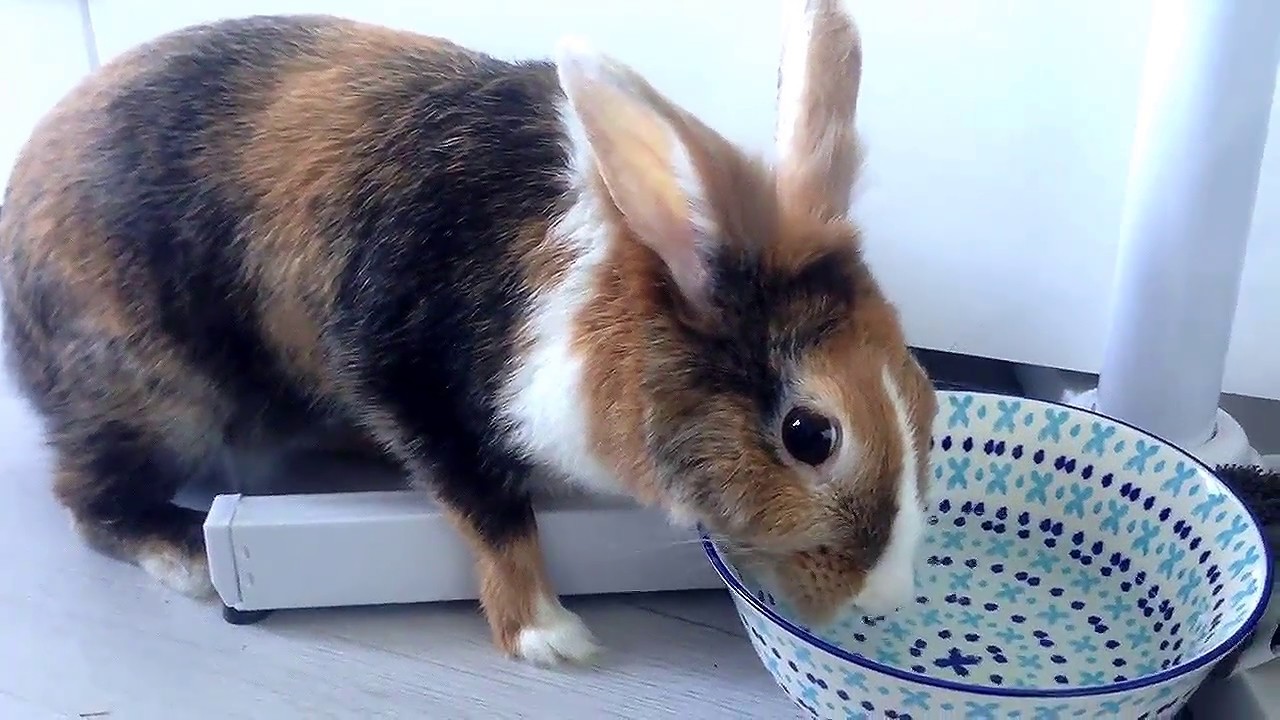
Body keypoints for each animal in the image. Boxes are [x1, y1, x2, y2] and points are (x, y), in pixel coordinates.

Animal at [0, 0, 937, 666]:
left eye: (926, 399)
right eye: (811, 434)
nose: (885, 597)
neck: (599, 304)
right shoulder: (401, 370)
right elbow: (493, 512)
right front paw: (548, 635)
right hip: (156, 395)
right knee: (89, 497)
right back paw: (188, 559)